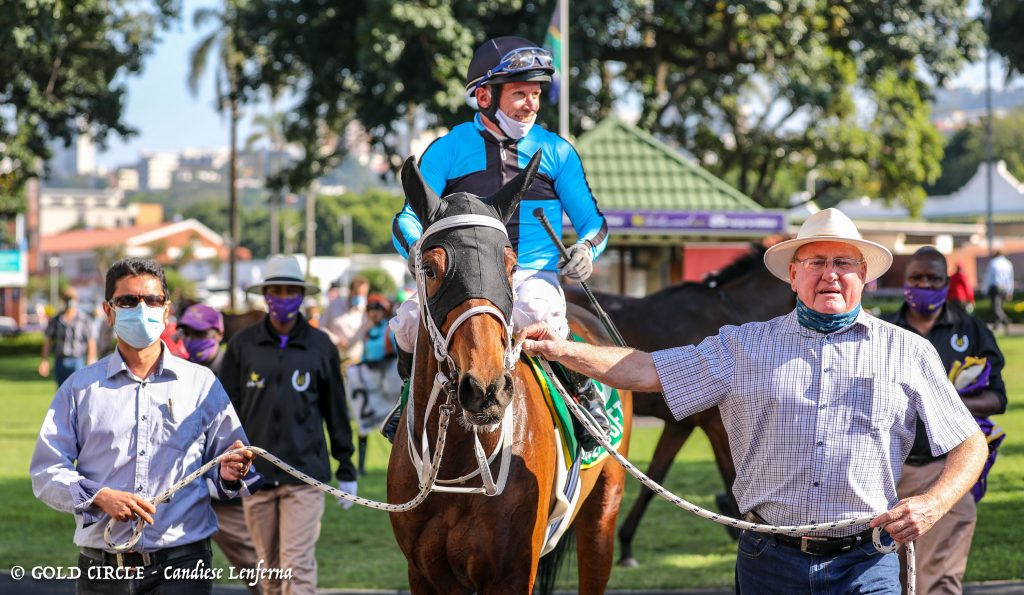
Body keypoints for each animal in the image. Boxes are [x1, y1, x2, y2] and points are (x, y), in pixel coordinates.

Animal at [387, 152, 633, 594]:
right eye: (429, 269)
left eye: (511, 265)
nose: (485, 388)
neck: (458, 469)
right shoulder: (424, 573)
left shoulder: (513, 571)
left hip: (603, 510)